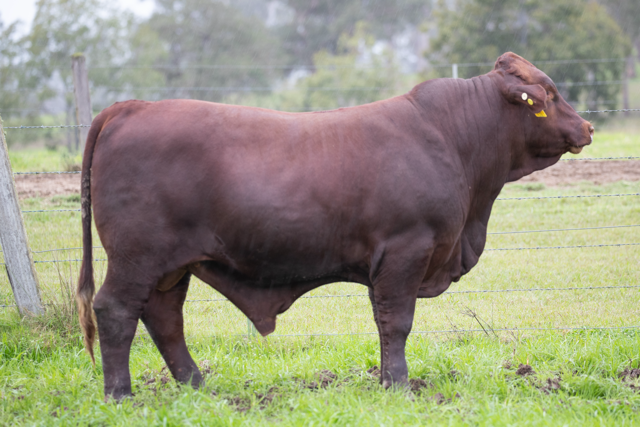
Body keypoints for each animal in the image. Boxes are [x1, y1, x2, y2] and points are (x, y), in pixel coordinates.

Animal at [76, 52, 594, 400]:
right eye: (550, 94)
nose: (587, 128)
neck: (453, 140)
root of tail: (131, 106)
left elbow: (383, 324)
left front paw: (386, 380)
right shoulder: (407, 251)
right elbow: (397, 322)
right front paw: (400, 386)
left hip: (171, 266)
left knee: (164, 317)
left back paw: (198, 385)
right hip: (137, 255)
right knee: (116, 310)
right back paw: (121, 394)